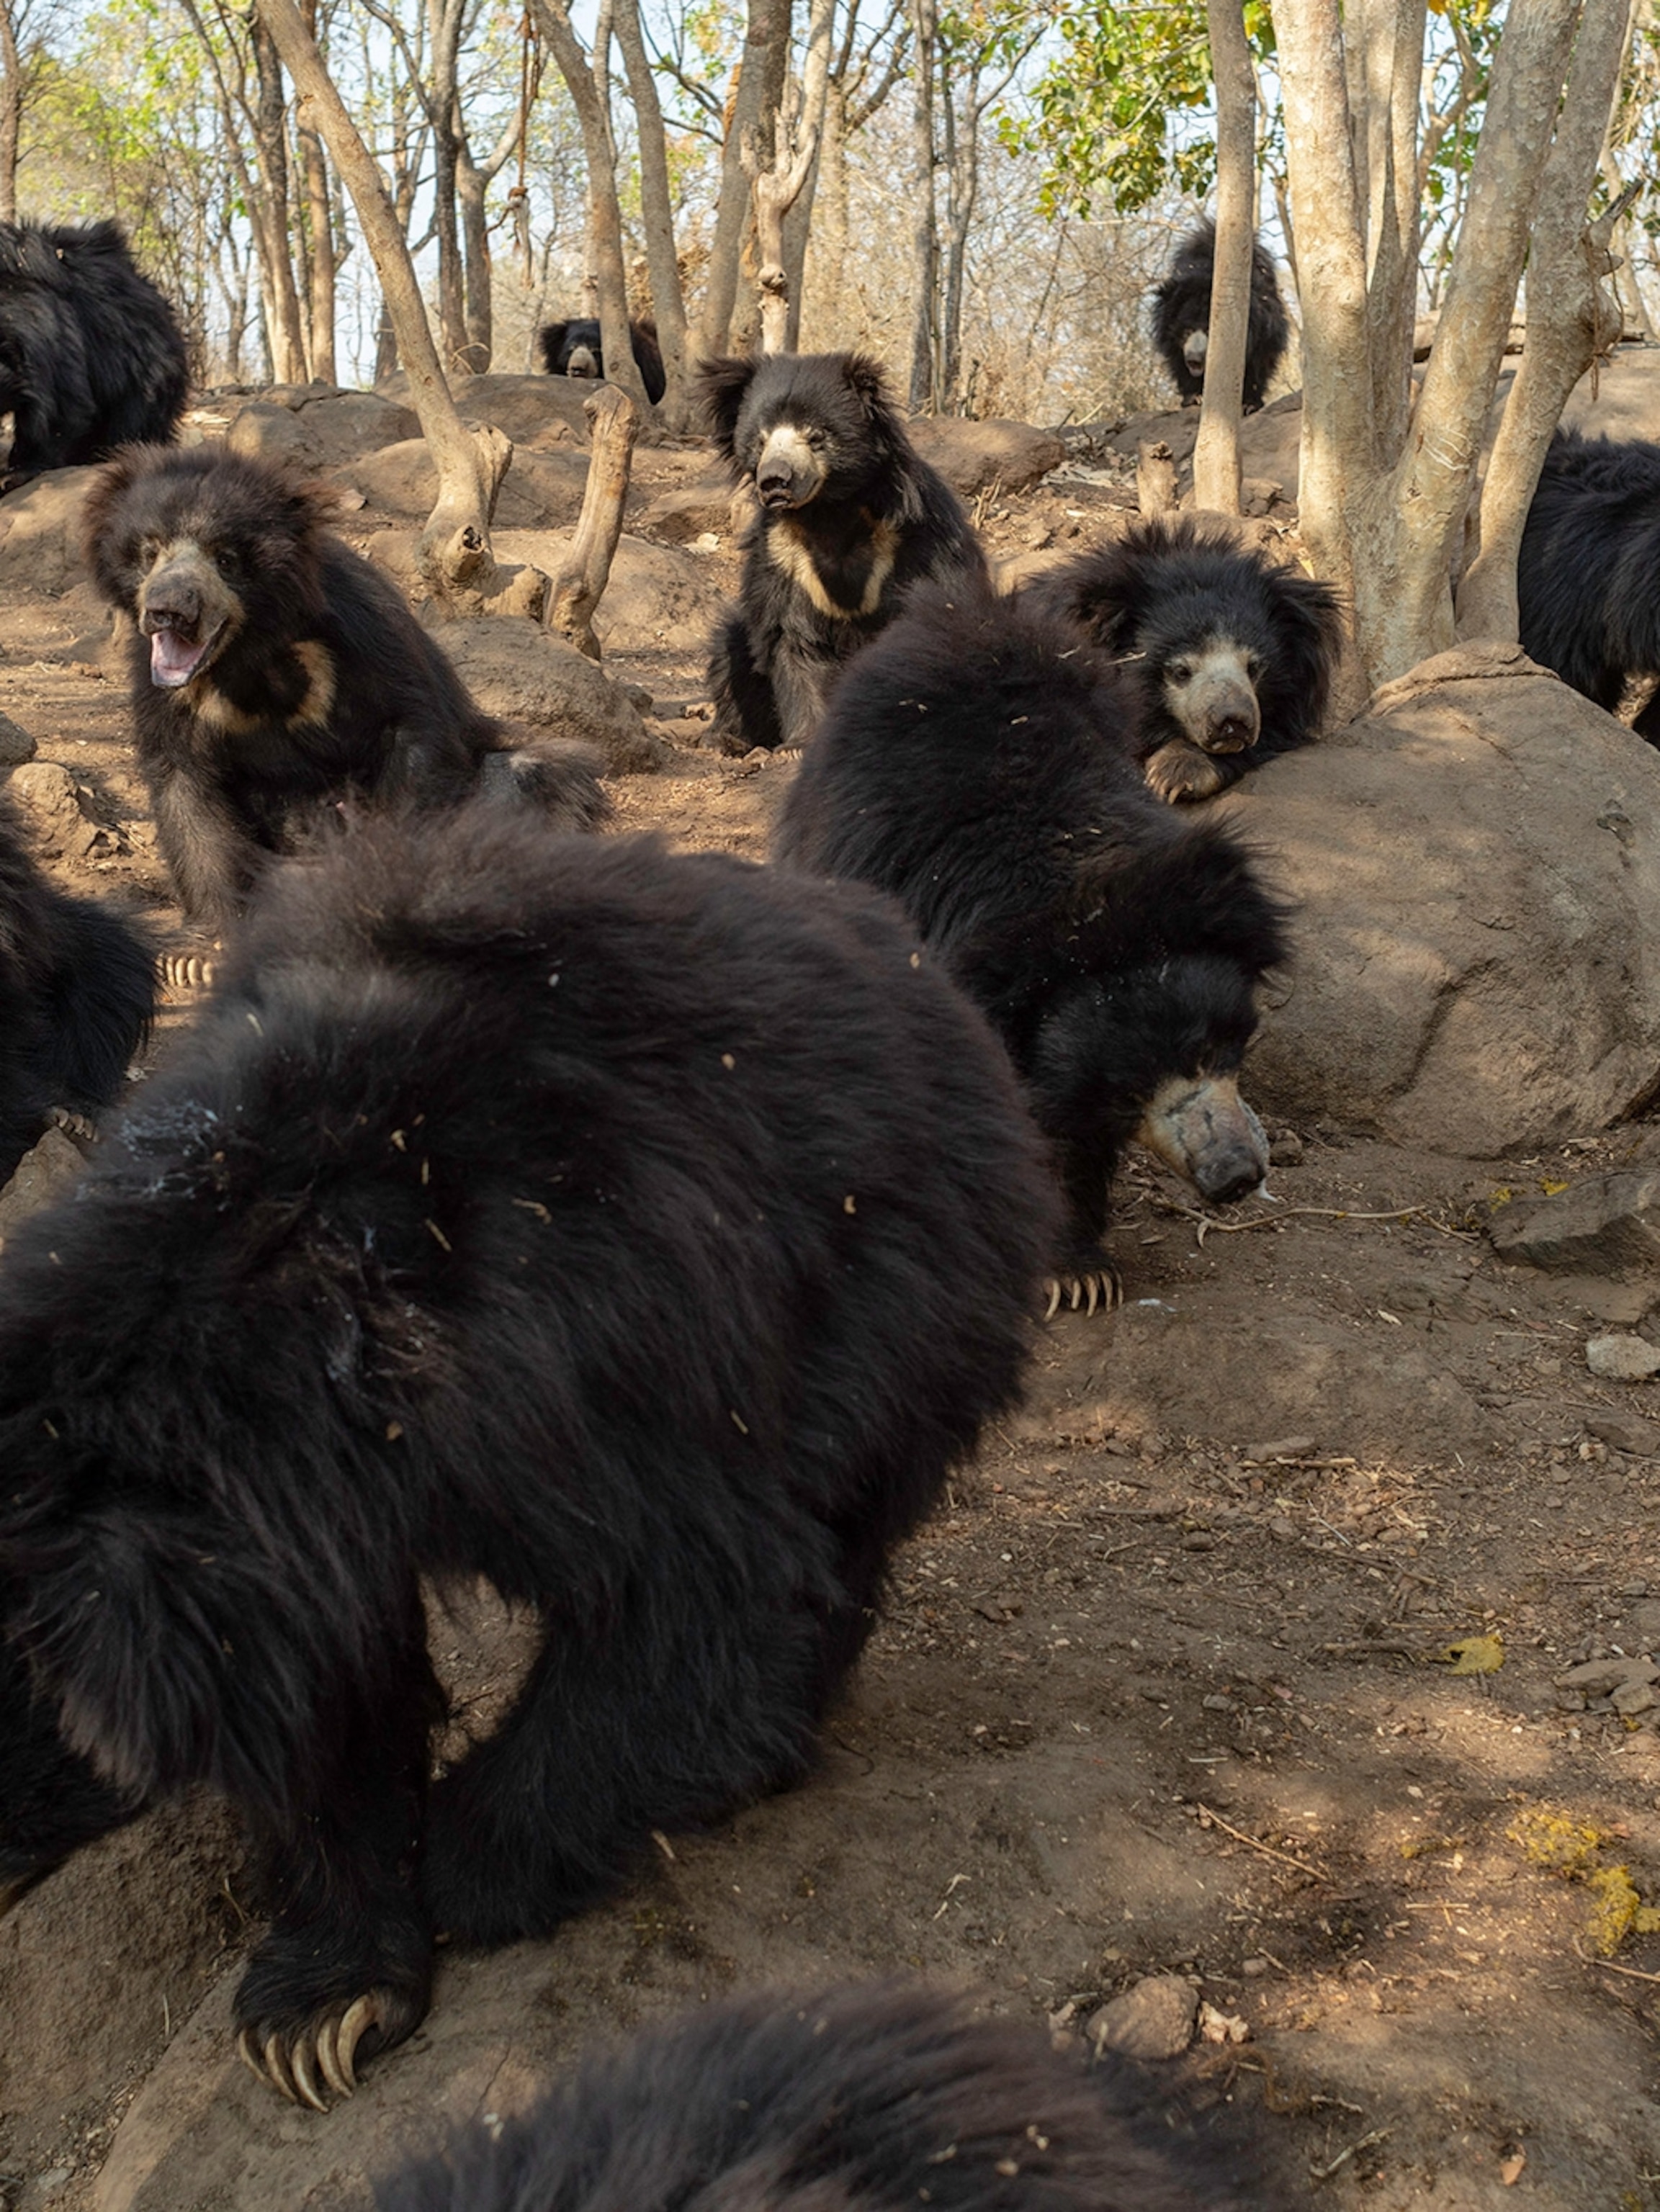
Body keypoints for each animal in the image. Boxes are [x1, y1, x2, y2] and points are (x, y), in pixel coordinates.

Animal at [83, 444, 609, 929]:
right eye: (149, 551)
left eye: (226, 559)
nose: (169, 610)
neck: (251, 649)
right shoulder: (164, 686)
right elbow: (184, 786)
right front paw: (209, 934)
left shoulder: (360, 629)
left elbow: (411, 732)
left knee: (538, 776)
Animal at [698, 349, 988, 755]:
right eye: (760, 440)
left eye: (816, 436)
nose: (775, 481)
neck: (830, 512)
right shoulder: (784, 556)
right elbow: (793, 638)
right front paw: (799, 745)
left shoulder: (920, 542)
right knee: (730, 654)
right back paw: (725, 739)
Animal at [773, 583, 1288, 1316]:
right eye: (1129, 1091)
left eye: (1215, 1048)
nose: (1234, 1174)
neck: (1082, 908)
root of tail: (965, 614)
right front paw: (1066, 1273)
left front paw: (1082, 1270)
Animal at [1150, 219, 1289, 416]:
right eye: (1187, 330)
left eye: (1210, 330)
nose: (1194, 359)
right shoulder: (1172, 339)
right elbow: (1178, 362)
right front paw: (1194, 397)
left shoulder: (1264, 330)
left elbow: (1258, 363)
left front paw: (1249, 404)